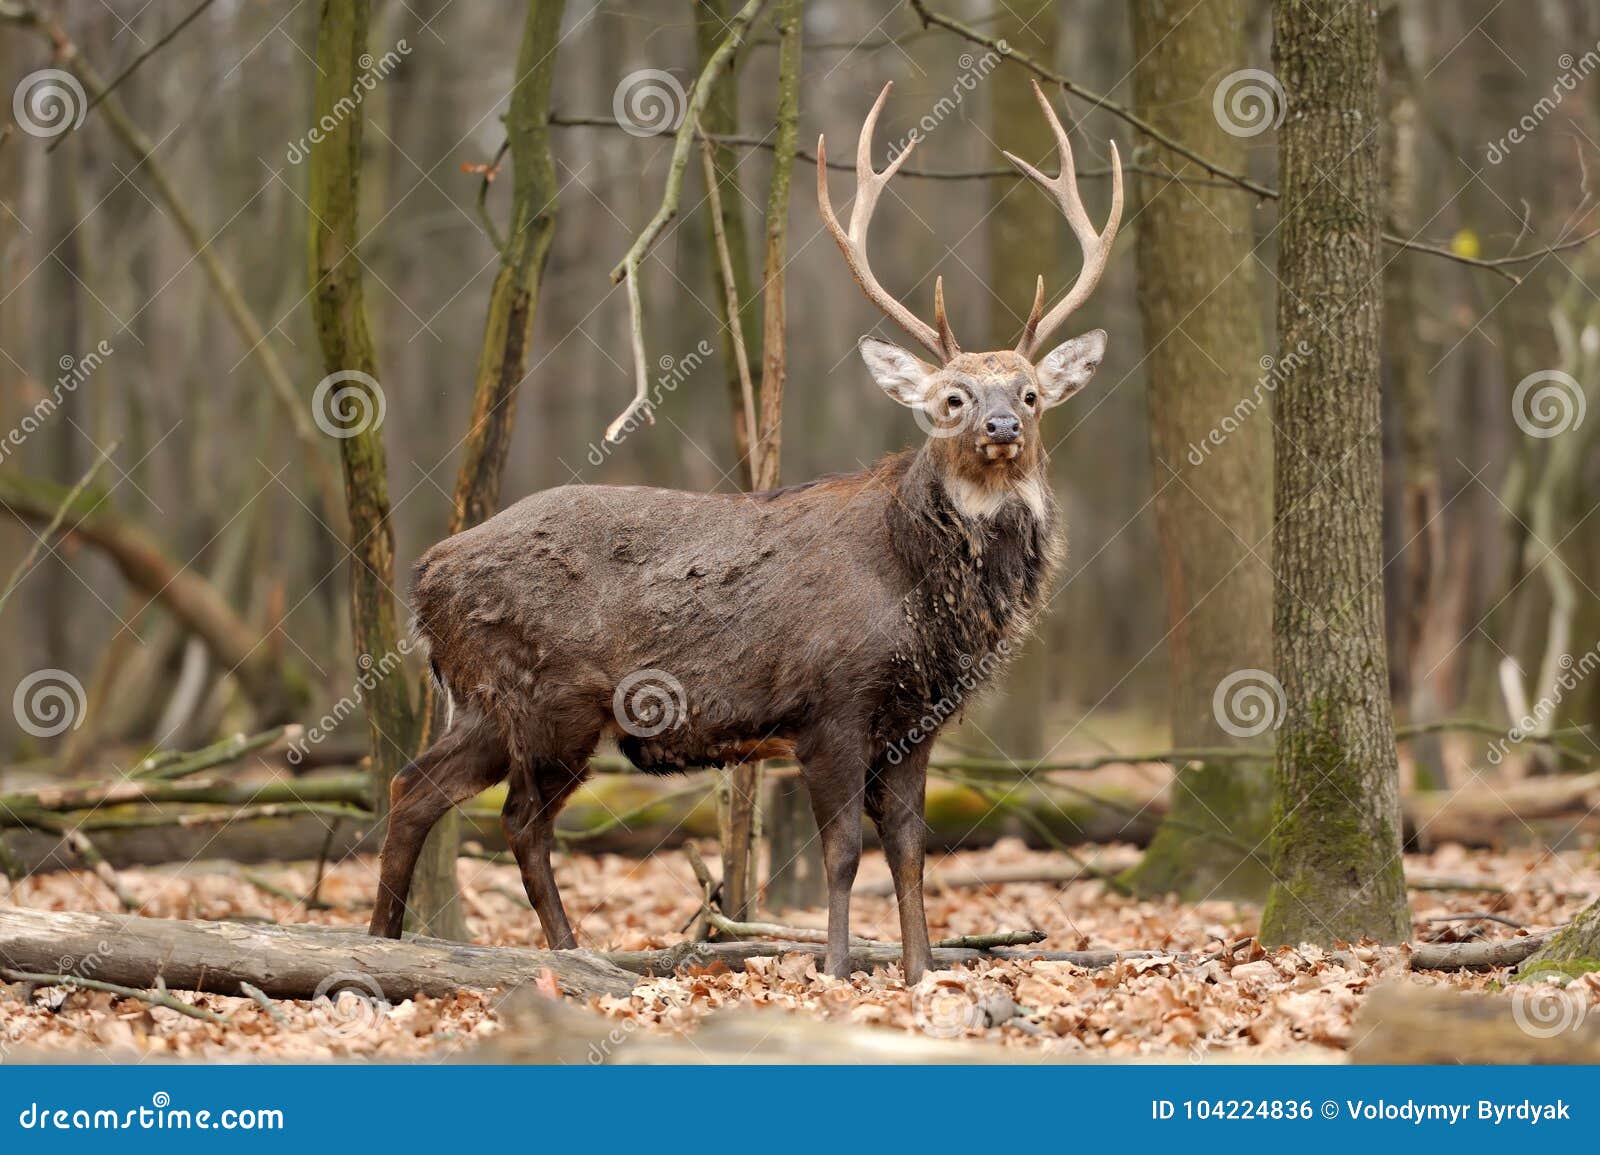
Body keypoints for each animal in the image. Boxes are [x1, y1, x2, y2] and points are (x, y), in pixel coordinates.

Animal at [368, 80, 1121, 985]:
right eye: (951, 397)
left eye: (1033, 391)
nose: (1003, 425)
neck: (918, 590)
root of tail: (425, 573)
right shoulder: (832, 701)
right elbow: (843, 853)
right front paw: (836, 969)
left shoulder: (916, 720)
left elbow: (910, 850)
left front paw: (918, 973)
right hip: (538, 695)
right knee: (512, 815)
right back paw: (533, 953)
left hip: (492, 706)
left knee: (423, 789)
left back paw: (404, 943)